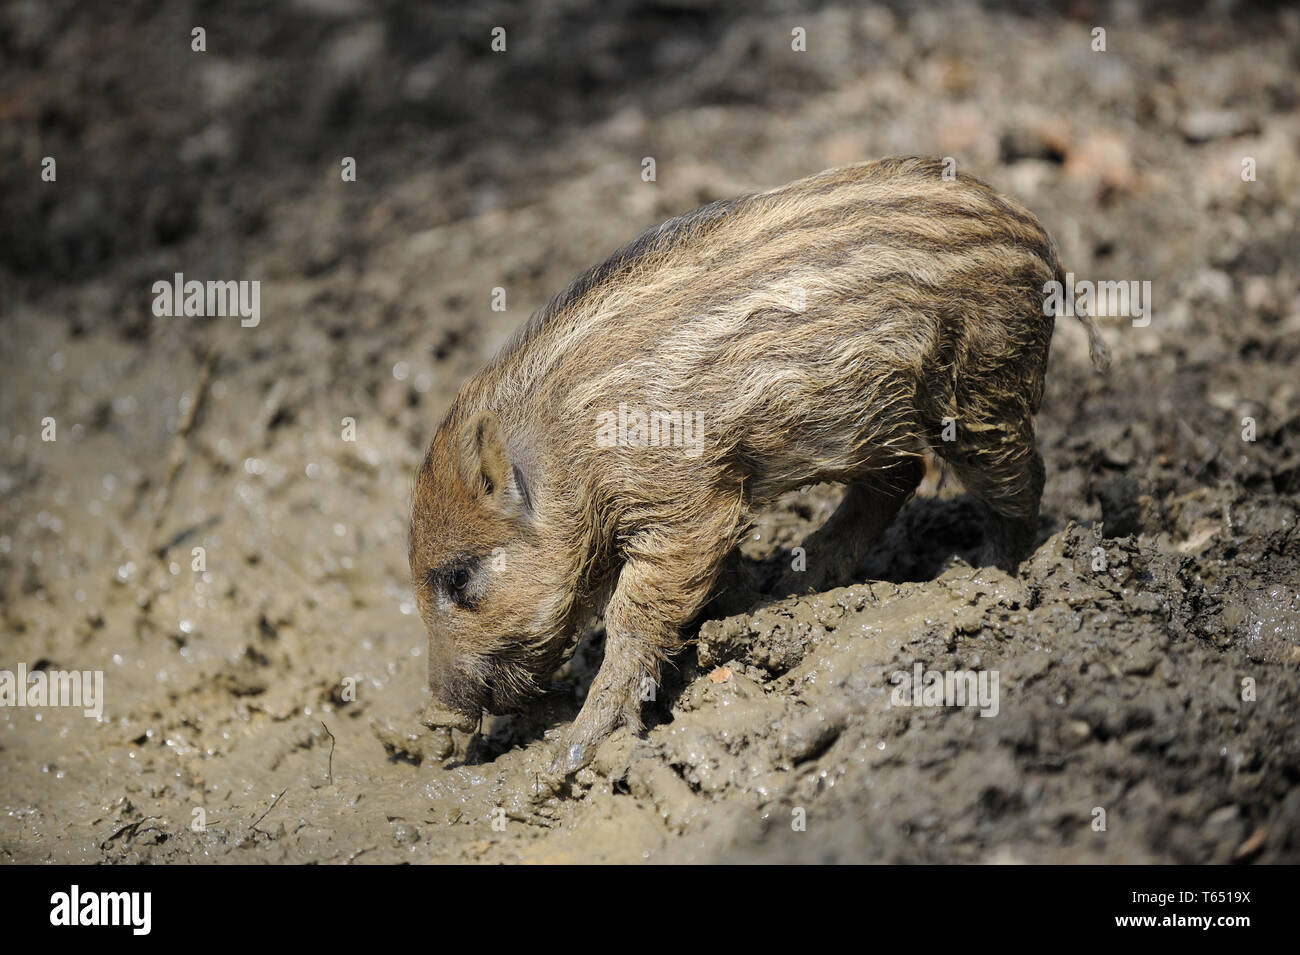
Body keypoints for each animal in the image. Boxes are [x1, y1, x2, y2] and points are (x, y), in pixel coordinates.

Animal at [409, 157, 1109, 773]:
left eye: (460, 578)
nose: (437, 721)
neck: (570, 454)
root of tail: (1039, 238)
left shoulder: (683, 506)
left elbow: (633, 616)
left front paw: (570, 759)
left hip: (985, 389)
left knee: (1021, 481)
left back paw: (994, 578)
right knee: (902, 475)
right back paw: (800, 586)